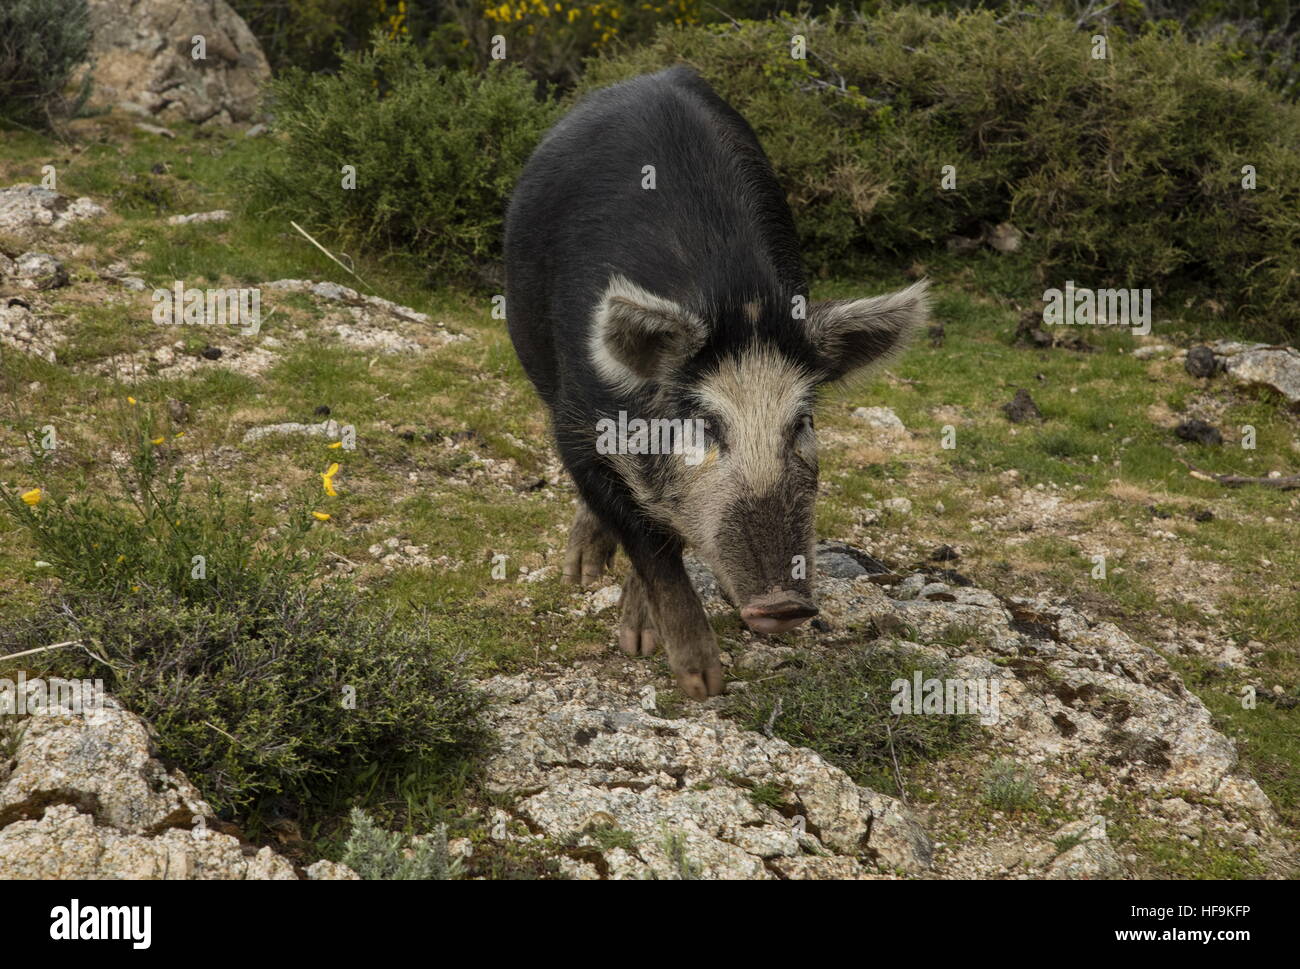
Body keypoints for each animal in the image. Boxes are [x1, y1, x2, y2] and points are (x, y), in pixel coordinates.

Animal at [504, 66, 929, 699]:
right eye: (704, 426)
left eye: (801, 423)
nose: (783, 607)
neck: (735, 301)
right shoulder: (574, 421)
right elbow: (649, 541)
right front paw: (698, 682)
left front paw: (645, 641)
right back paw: (581, 576)